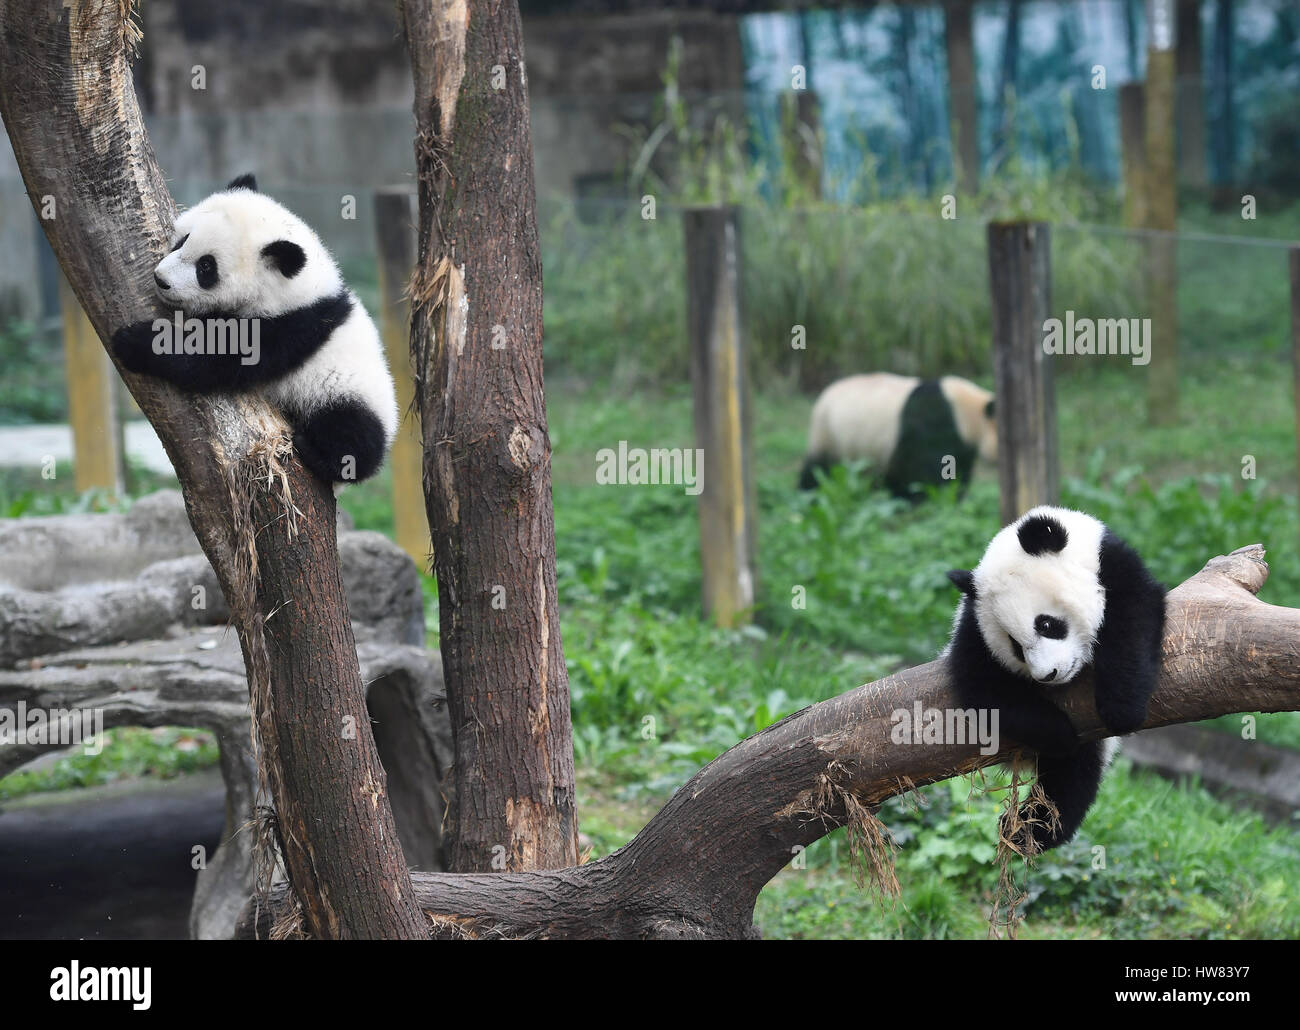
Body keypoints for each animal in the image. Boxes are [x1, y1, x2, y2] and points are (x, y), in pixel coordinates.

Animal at [111, 174, 398, 486]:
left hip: (348, 394)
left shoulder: (291, 326)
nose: (161, 279)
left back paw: (317, 453)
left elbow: (215, 360)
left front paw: (136, 342)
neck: (296, 288)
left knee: (354, 437)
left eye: (206, 267)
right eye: (183, 240)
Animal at [799, 372, 996, 500]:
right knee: (817, 469)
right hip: (827, 433)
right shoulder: (934, 424)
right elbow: (926, 470)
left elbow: (959, 469)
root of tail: (824, 395)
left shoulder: (963, 444)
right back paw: (808, 495)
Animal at [944, 506, 1166, 852]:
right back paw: (1025, 828)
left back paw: (1031, 829)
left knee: (1073, 782)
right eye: (1015, 646)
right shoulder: (973, 627)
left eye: (1046, 624)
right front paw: (1061, 734)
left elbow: (1134, 620)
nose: (1047, 675)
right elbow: (983, 690)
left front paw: (1123, 709)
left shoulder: (1115, 568)